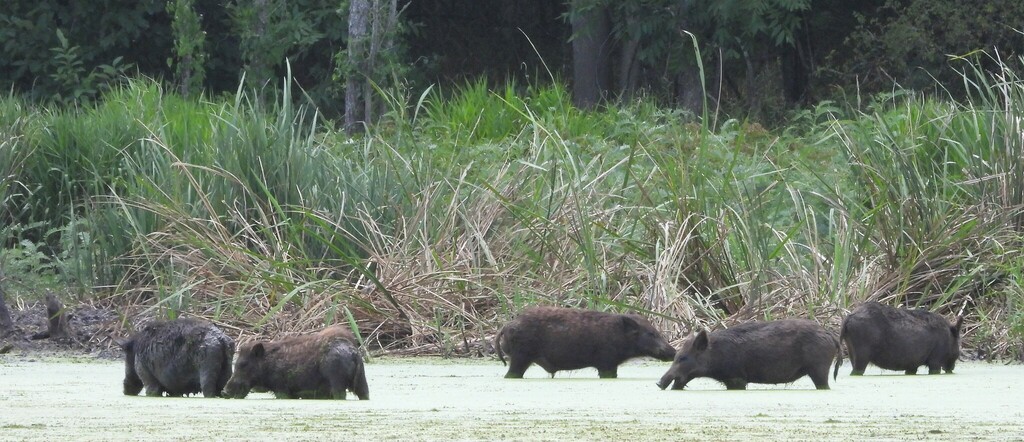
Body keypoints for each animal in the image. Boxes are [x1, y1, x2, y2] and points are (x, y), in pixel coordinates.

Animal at [223, 325, 368, 400]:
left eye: (243, 364)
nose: (225, 392)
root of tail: (354, 353)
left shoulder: (282, 389)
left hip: (337, 384)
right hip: (362, 383)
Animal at [657, 319, 840, 390]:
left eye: (683, 358)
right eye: (676, 357)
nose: (658, 383)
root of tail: (831, 335)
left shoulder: (737, 378)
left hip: (819, 368)